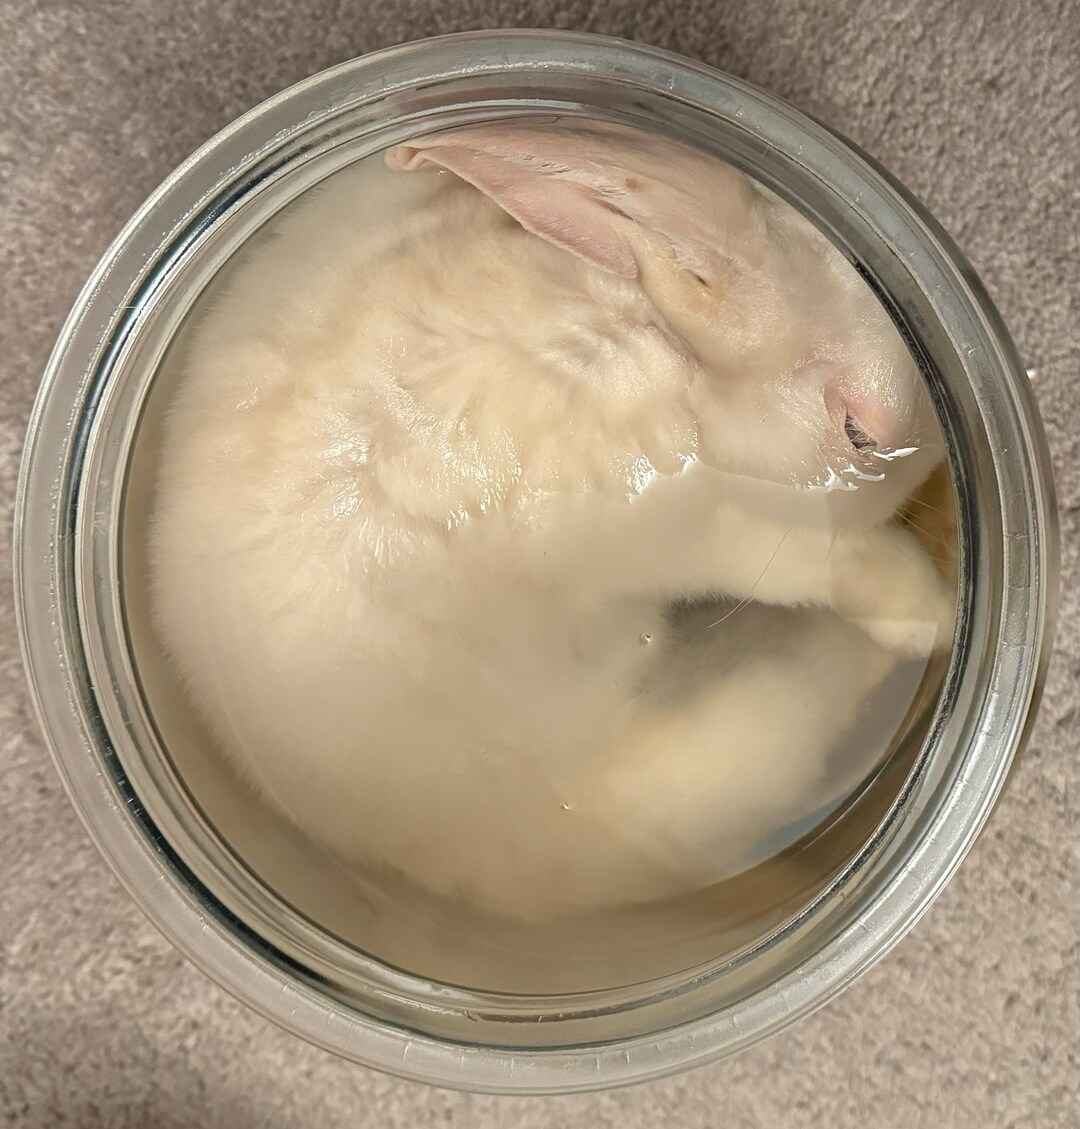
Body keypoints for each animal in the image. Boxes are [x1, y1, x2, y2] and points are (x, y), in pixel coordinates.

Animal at [148, 120, 955, 918]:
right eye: (859, 432)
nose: (932, 458)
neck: (648, 339)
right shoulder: (720, 527)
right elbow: (831, 564)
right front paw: (932, 614)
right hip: (754, 714)